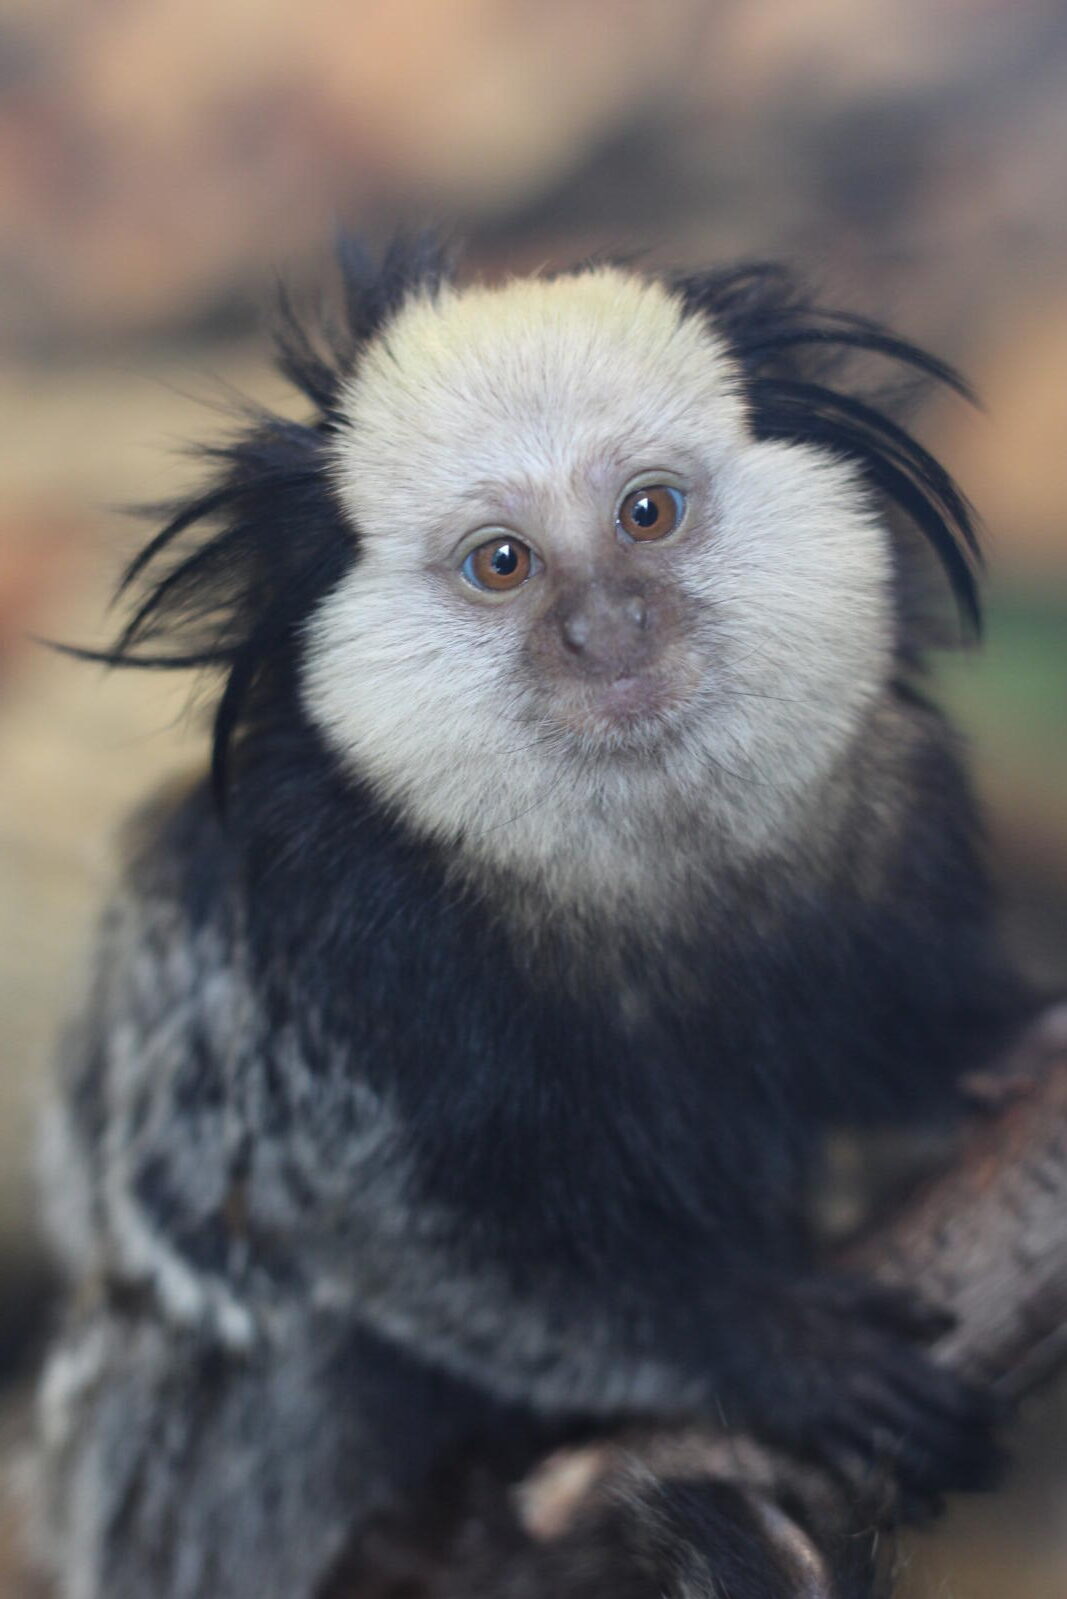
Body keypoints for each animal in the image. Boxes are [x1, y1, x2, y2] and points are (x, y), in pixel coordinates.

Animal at [34, 234, 1032, 1599]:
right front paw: (769, 1346)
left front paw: (994, 1051)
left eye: (645, 513)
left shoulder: (885, 812)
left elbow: (891, 1040)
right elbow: (376, 1233)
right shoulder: (330, 968)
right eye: (501, 562)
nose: (606, 627)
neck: (637, 865)